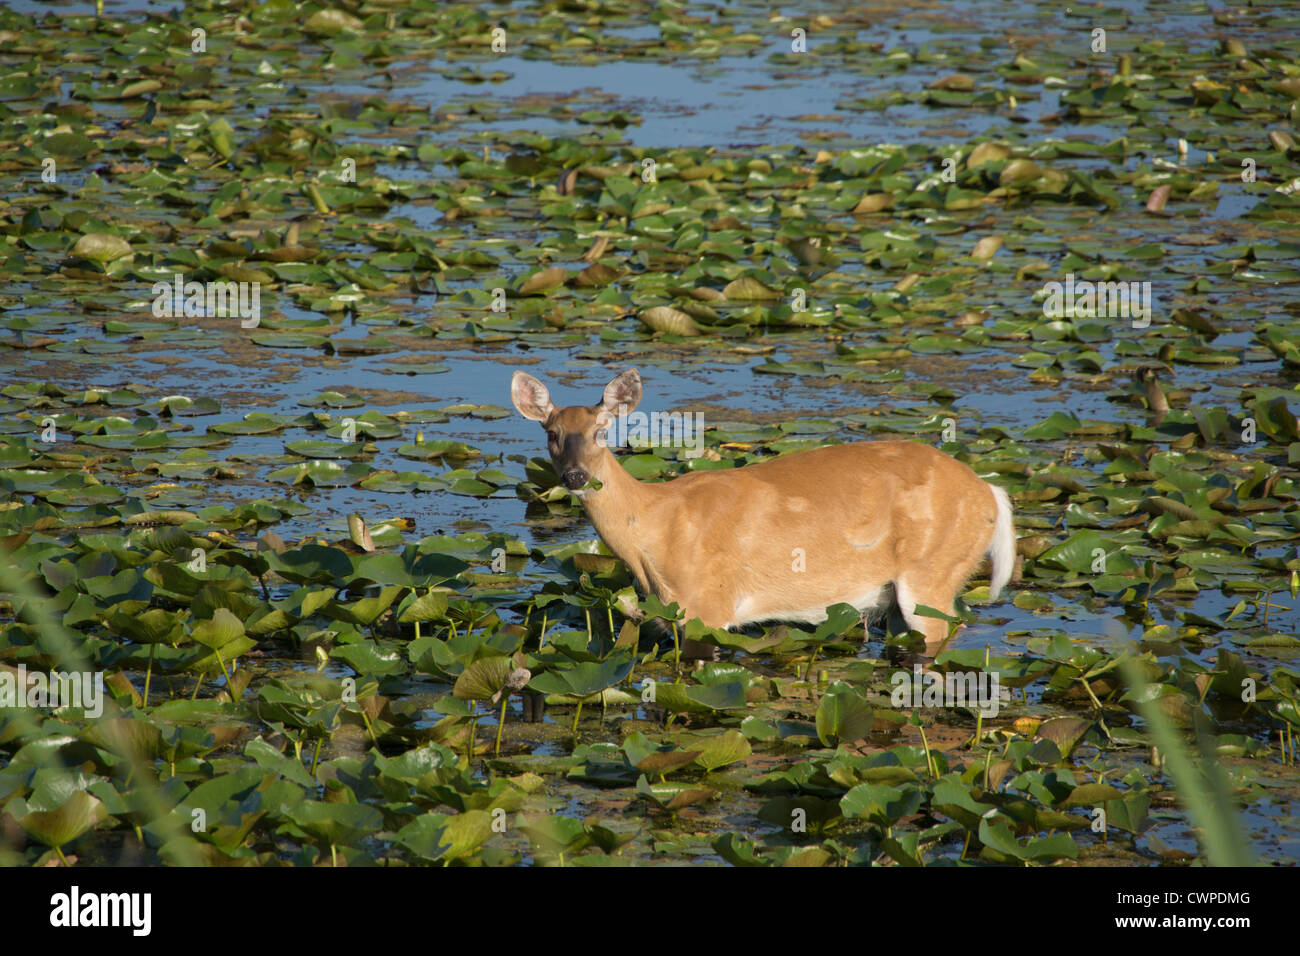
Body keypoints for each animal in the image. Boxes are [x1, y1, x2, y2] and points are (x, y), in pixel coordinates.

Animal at [511, 367, 1015, 654]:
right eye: (552, 433)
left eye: (602, 431)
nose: (576, 476)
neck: (655, 529)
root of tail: (992, 495)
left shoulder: (708, 606)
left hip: (931, 572)